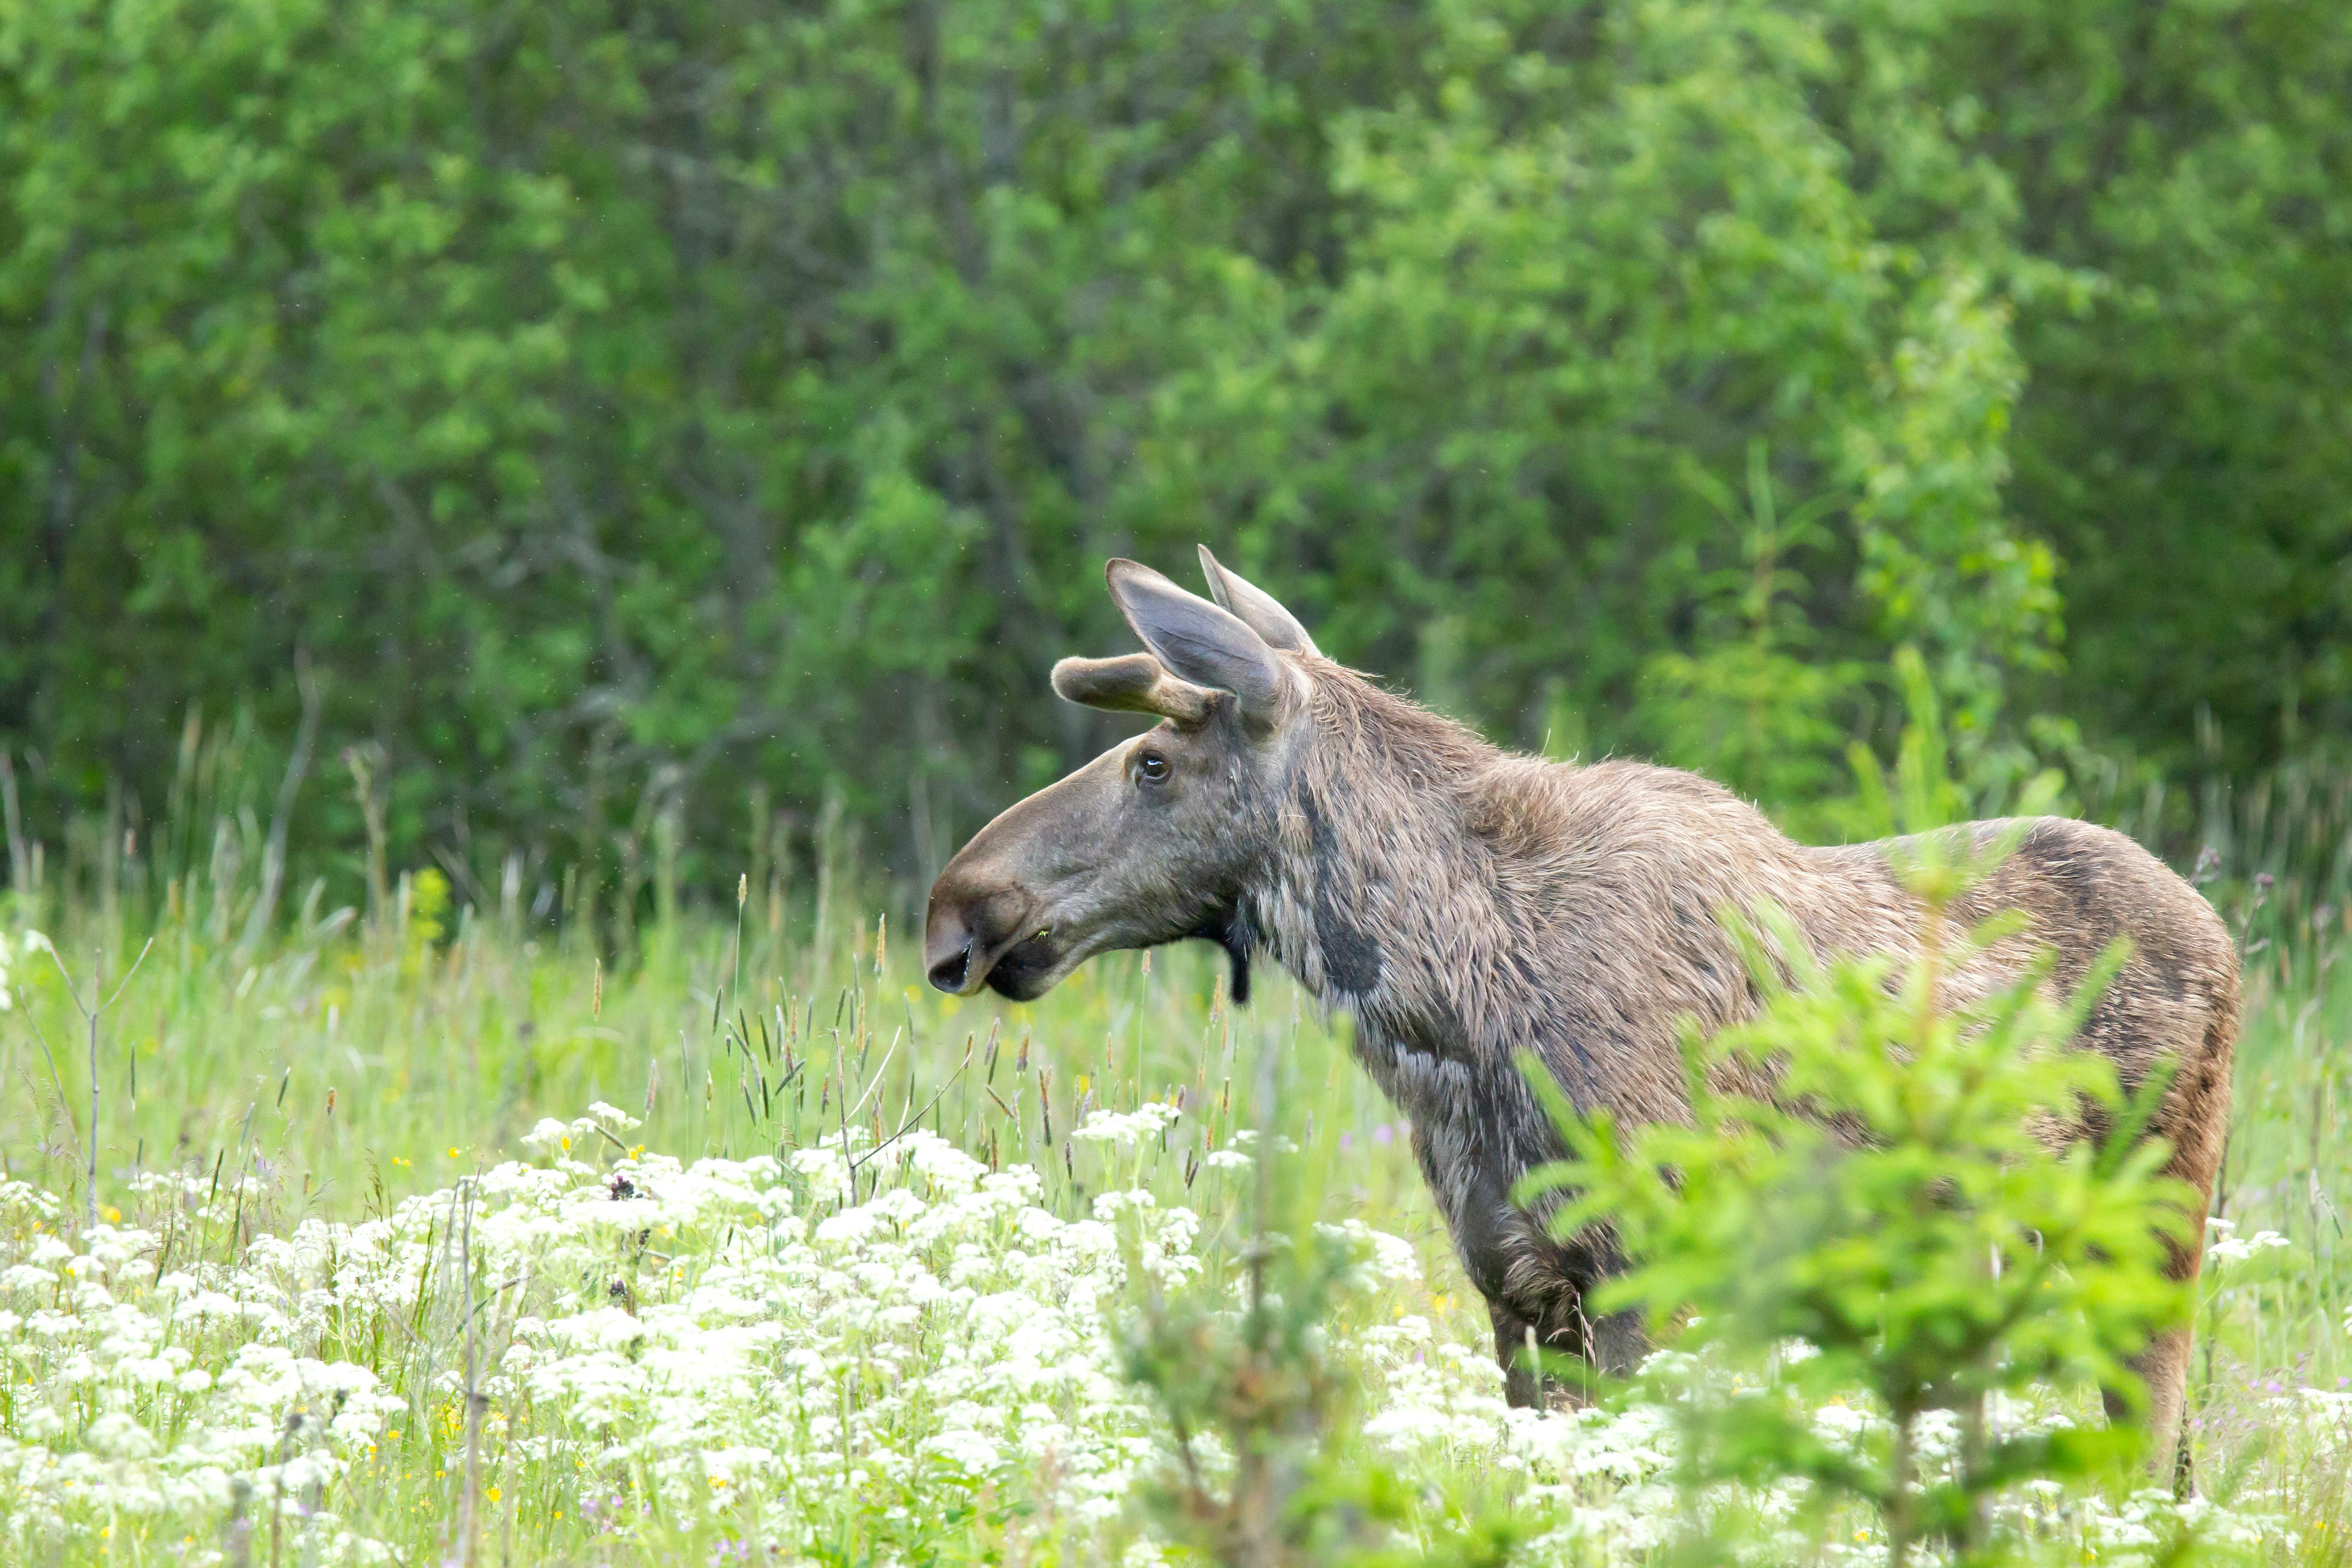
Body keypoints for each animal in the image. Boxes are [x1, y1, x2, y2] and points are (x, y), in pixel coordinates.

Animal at [923, 548, 2238, 1473]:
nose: (959, 906)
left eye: (1152, 763)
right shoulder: (1511, 1286)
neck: (1446, 1010)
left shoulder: (1647, 1269)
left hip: (2150, 1232)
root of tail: (2225, 936)